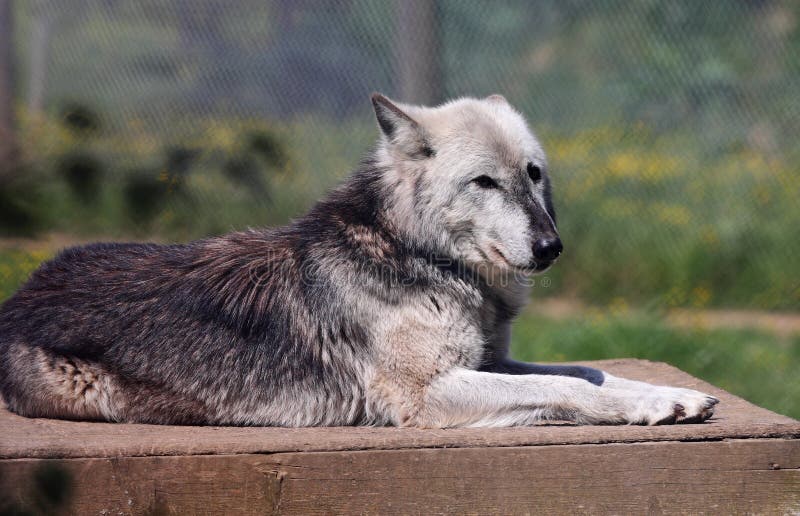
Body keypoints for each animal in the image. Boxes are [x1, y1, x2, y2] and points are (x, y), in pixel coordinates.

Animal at [0, 94, 718, 427]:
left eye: (533, 175)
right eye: (485, 183)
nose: (551, 248)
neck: (421, 258)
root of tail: (21, 291)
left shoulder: (490, 361)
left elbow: (590, 373)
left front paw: (675, 395)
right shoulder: (429, 393)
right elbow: (569, 388)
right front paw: (654, 405)